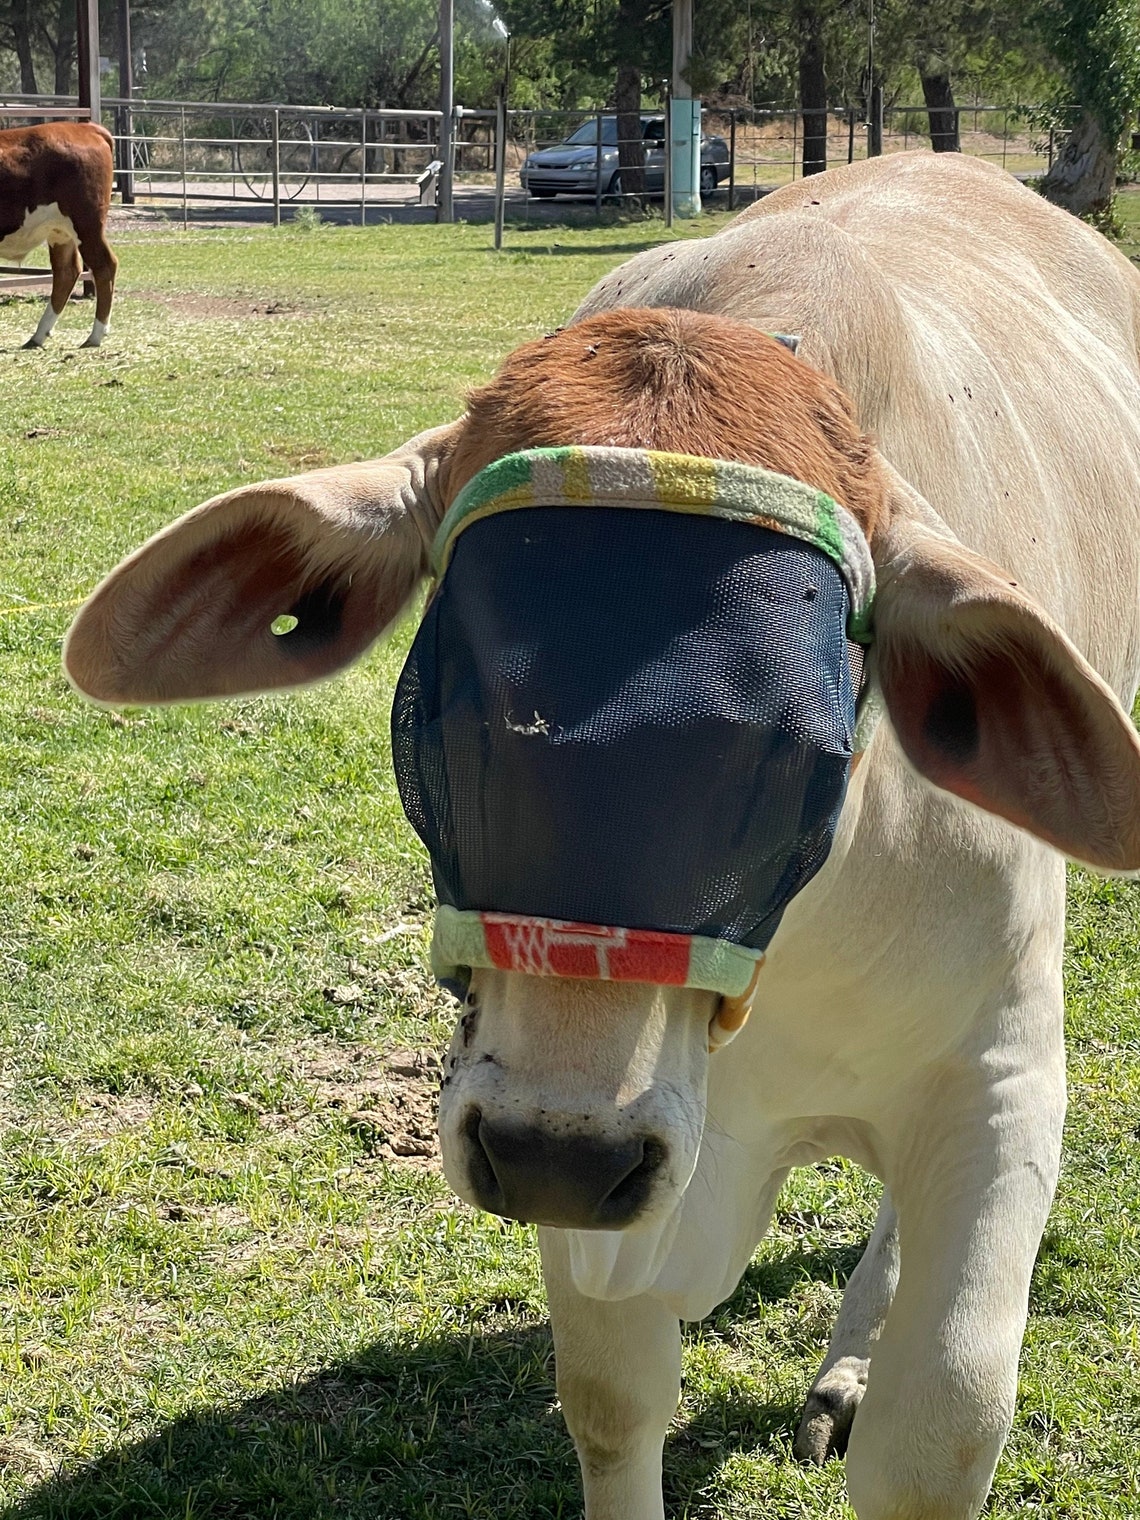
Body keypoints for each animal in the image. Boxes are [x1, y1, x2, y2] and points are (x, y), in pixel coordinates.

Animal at [0, 121, 117, 349]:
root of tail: (86, 128)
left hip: (87, 224)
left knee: (104, 265)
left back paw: (95, 336)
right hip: (60, 232)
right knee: (66, 271)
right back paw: (38, 335)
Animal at [63, 152, 1140, 1520]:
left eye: (805, 734)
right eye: (450, 703)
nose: (558, 1151)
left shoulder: (1002, 1076)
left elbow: (940, 1420)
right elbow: (615, 1395)